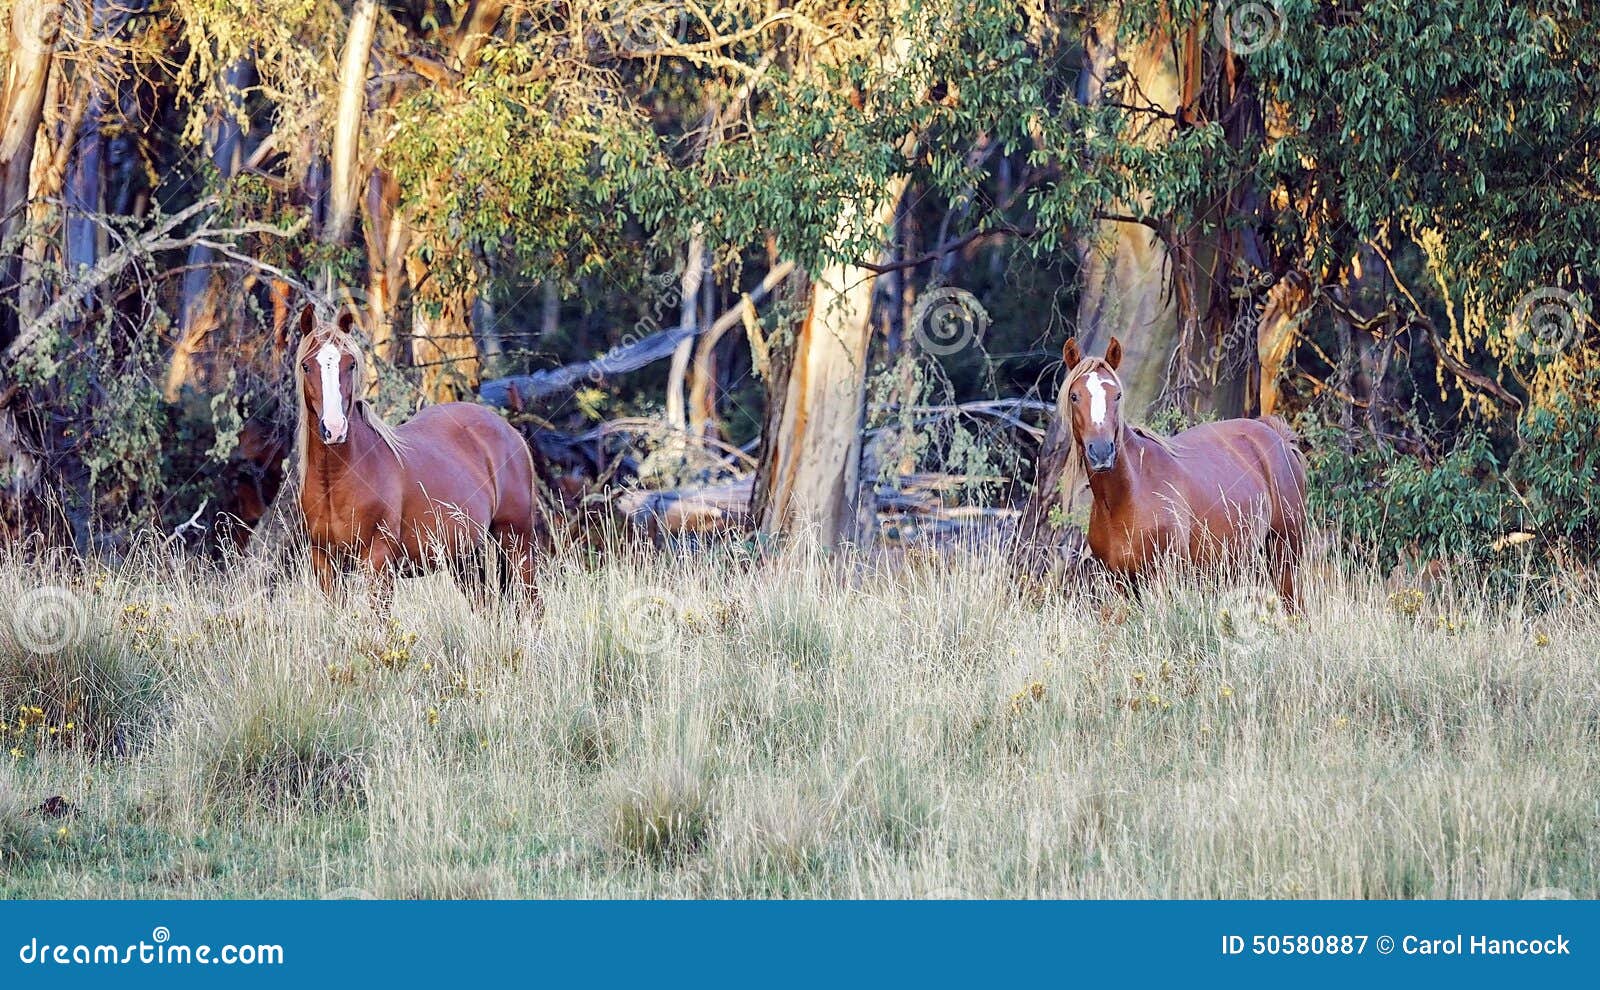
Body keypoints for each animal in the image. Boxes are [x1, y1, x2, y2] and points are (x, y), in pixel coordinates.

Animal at [293, 304, 544, 607]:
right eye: (307, 366)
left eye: (350, 364)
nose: (334, 428)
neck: (337, 480)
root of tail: (509, 431)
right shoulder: (324, 562)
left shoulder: (378, 559)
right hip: (465, 558)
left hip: (516, 543)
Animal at [1056, 336, 1308, 608]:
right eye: (1074, 396)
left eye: (1117, 395)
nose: (1102, 452)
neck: (1128, 494)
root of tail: (1276, 435)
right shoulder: (1118, 584)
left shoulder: (1163, 579)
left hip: (1285, 561)